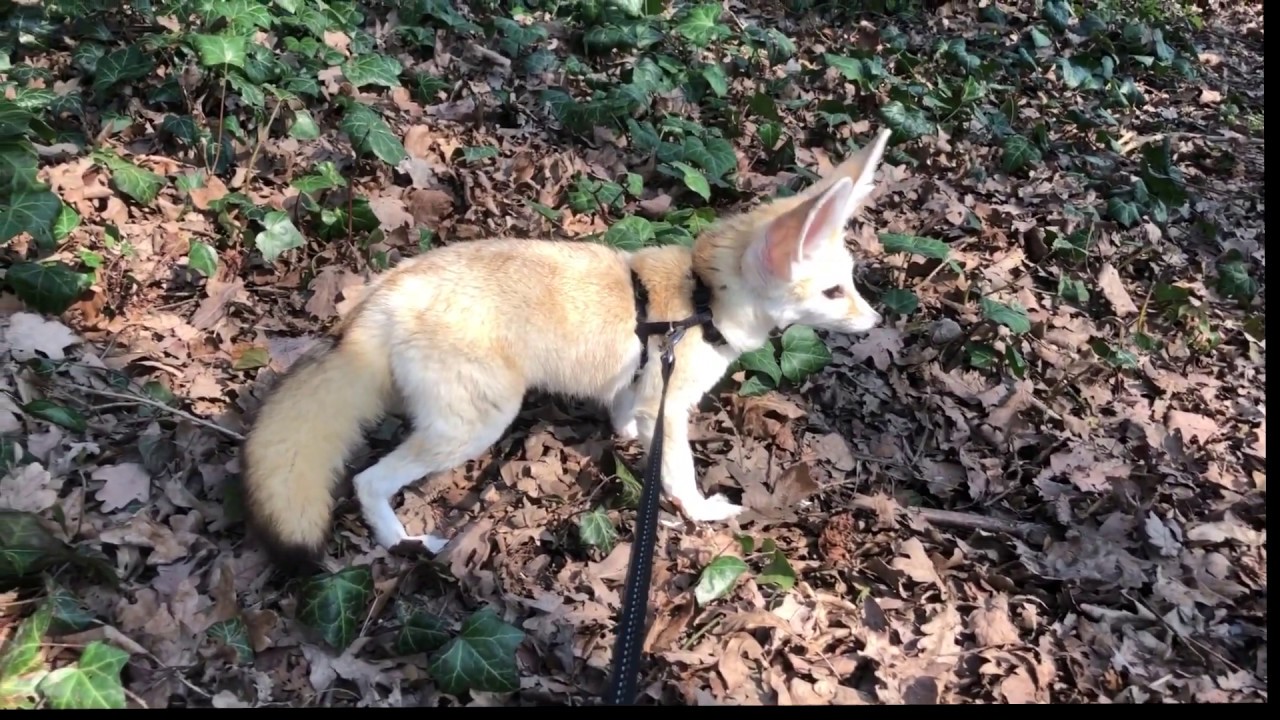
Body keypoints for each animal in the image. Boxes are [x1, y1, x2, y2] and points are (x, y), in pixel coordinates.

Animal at [240, 128, 893, 568]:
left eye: (852, 282)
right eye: (835, 292)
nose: (877, 318)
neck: (701, 298)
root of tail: (381, 297)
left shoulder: (642, 387)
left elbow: (625, 413)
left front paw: (624, 436)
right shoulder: (669, 405)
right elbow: (679, 474)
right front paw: (701, 511)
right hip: (478, 423)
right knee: (368, 480)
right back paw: (402, 541)